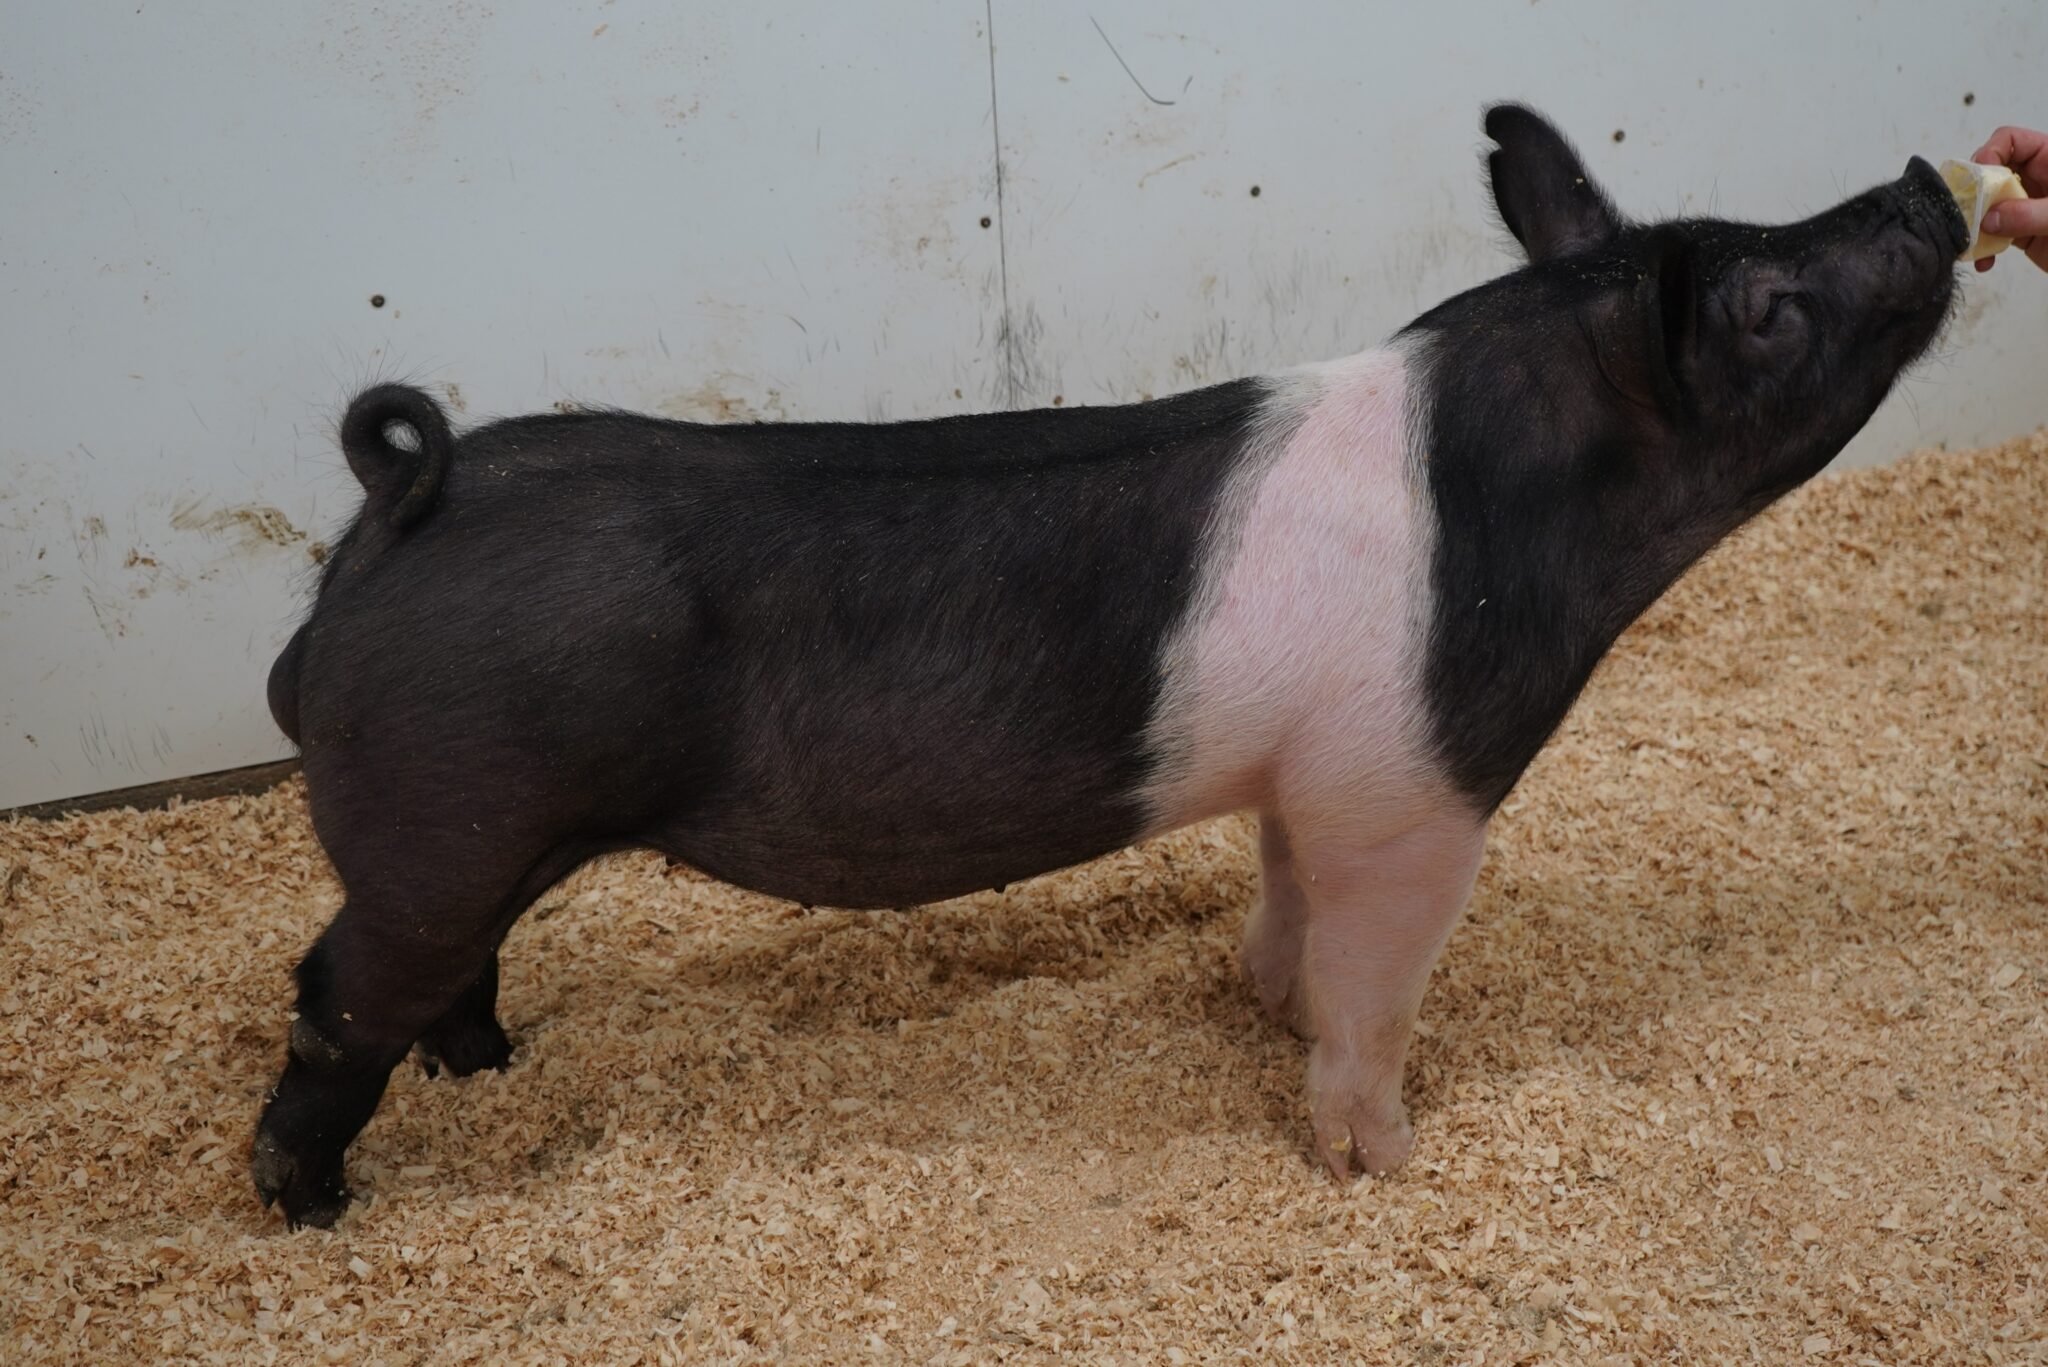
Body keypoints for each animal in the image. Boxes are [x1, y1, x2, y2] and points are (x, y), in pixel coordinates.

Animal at [251, 104, 1967, 1228]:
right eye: (1765, 303)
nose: (1916, 180)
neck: (1522, 494)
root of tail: (407, 503)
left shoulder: (1310, 777)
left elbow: (1284, 898)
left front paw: (1260, 999)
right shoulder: (1411, 790)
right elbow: (1374, 985)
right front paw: (1380, 1165)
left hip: (483, 836)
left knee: (457, 973)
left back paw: (498, 1070)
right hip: (440, 818)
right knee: (336, 993)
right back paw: (312, 1201)